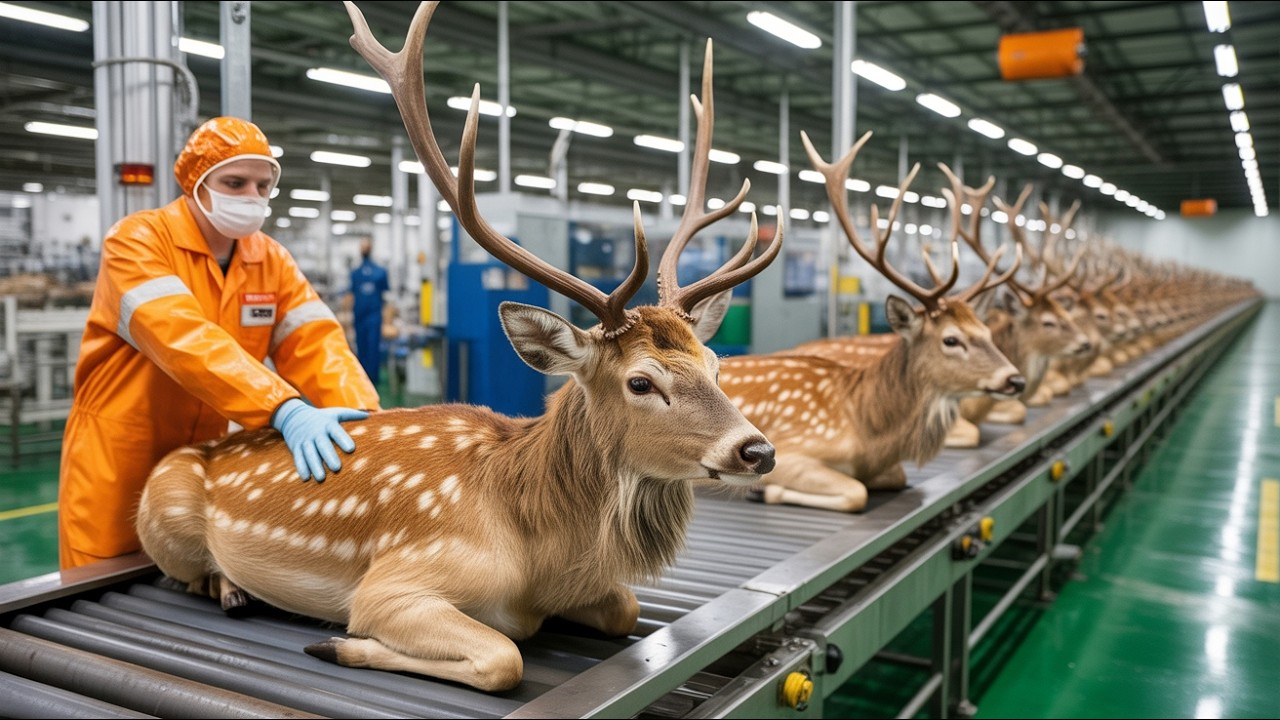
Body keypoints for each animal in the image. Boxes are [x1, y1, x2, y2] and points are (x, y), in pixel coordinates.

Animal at [135, 0, 781, 693]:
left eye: (715, 364)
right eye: (641, 381)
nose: (757, 449)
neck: (540, 556)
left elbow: (624, 608)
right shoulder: (397, 579)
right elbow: (504, 656)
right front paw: (339, 644)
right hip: (164, 518)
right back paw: (231, 588)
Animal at [713, 132, 1025, 512]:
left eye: (986, 331)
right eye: (951, 339)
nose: (1016, 379)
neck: (869, 434)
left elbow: (895, 477)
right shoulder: (792, 448)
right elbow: (856, 493)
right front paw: (765, 491)